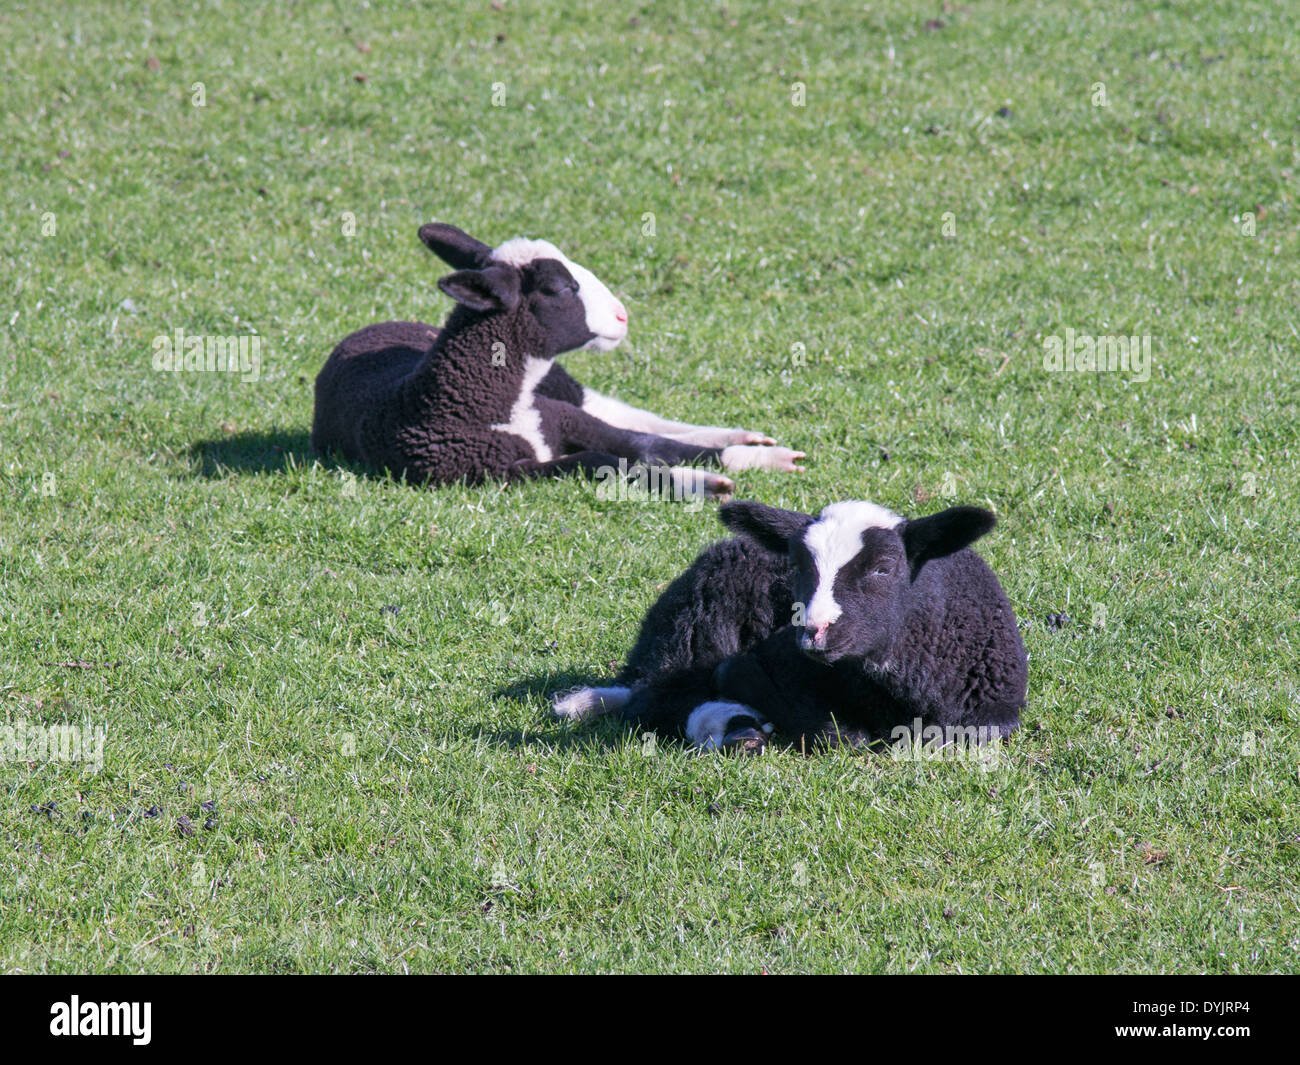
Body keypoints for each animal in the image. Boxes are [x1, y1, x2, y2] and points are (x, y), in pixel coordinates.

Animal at [311, 223, 805, 498]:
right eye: (559, 288)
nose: (623, 317)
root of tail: (363, 331)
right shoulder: (500, 472)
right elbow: (603, 460)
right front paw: (700, 481)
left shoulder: (564, 416)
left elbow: (648, 444)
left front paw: (756, 459)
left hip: (563, 388)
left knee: (636, 416)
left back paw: (743, 436)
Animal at [553, 498, 1027, 755]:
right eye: (798, 565)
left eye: (884, 568)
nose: (814, 631)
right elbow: (843, 735)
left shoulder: (995, 712)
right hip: (696, 620)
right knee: (655, 697)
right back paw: (733, 727)